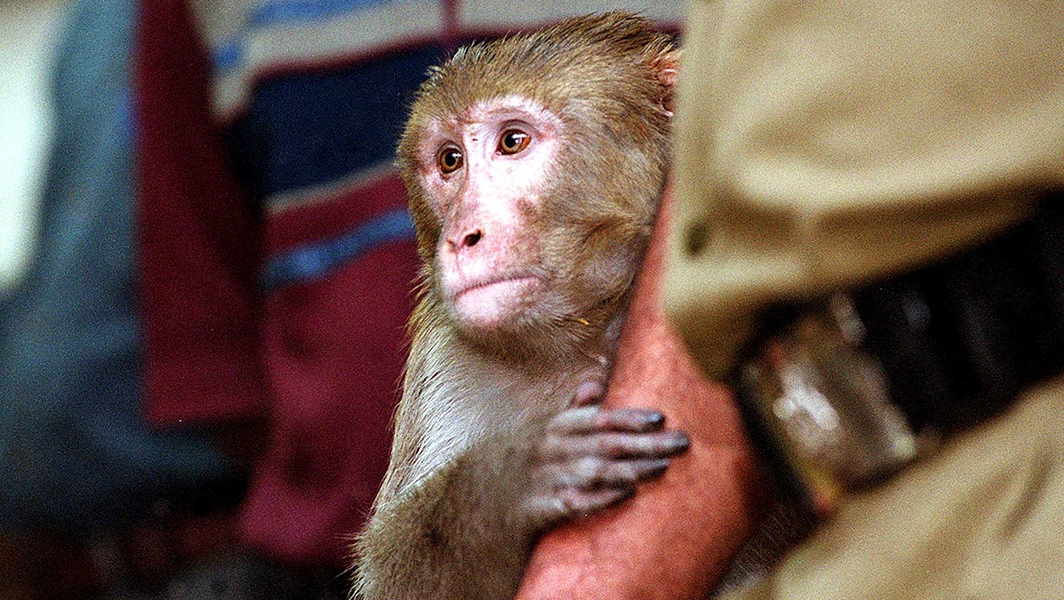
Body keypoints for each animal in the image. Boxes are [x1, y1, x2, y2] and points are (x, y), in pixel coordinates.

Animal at [352, 13, 687, 600]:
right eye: (450, 160)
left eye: (512, 142)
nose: (462, 237)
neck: (583, 331)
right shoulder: (446, 359)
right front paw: (509, 479)